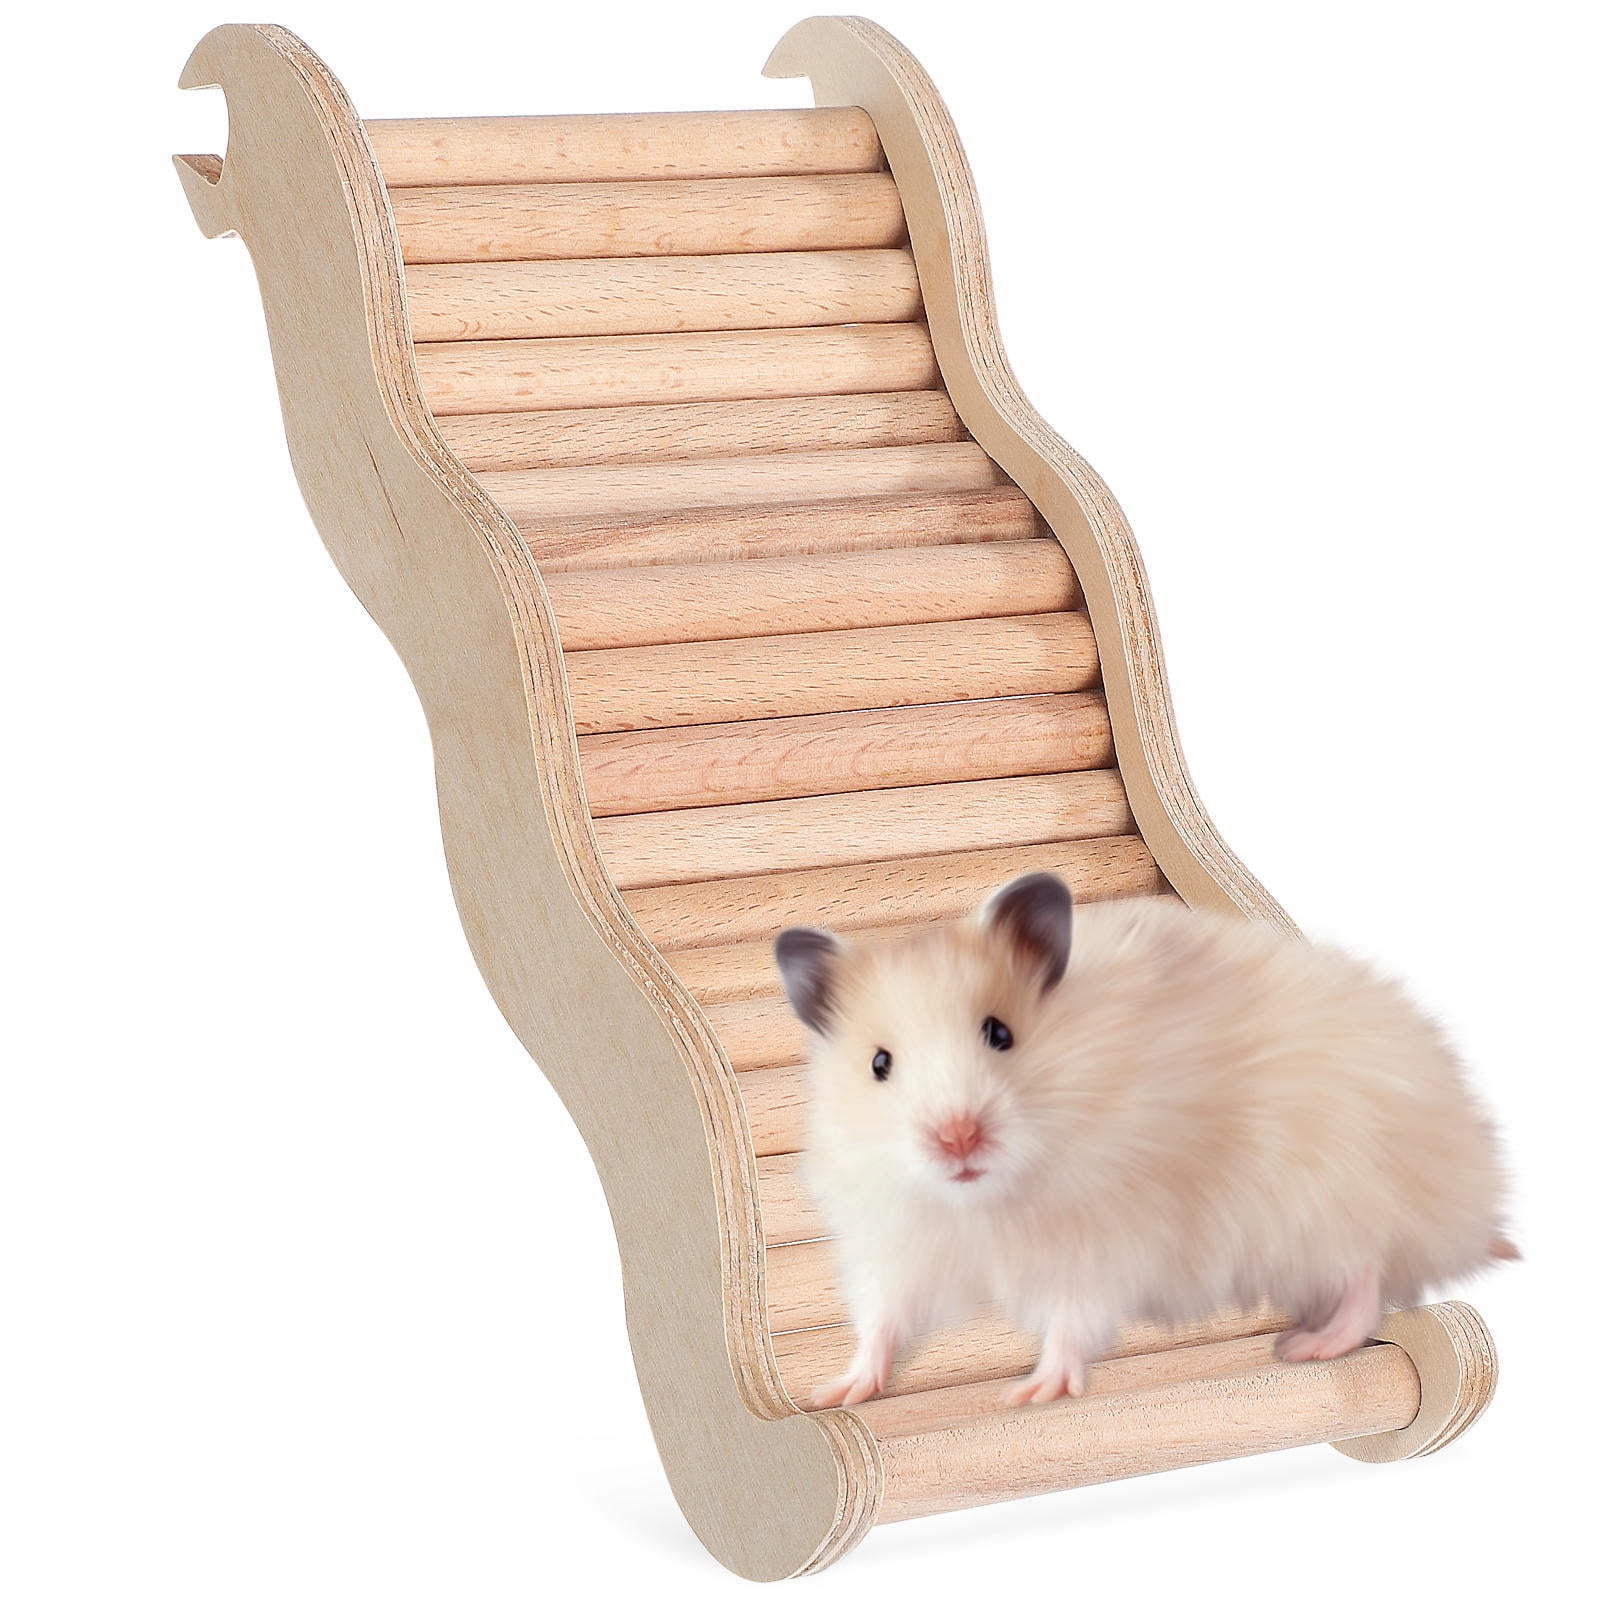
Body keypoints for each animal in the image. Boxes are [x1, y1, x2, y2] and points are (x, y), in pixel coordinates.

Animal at [774, 873, 1516, 1409]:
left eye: (1000, 1033)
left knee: (1365, 1276)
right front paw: (835, 1392)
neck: (988, 1202)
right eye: (879, 1064)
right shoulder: (897, 1243)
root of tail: (1467, 1197)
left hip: (1332, 1190)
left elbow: (1071, 1319)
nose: (956, 1138)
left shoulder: (1106, 1241)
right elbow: (881, 1321)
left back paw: (1309, 1346)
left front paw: (1032, 1394)